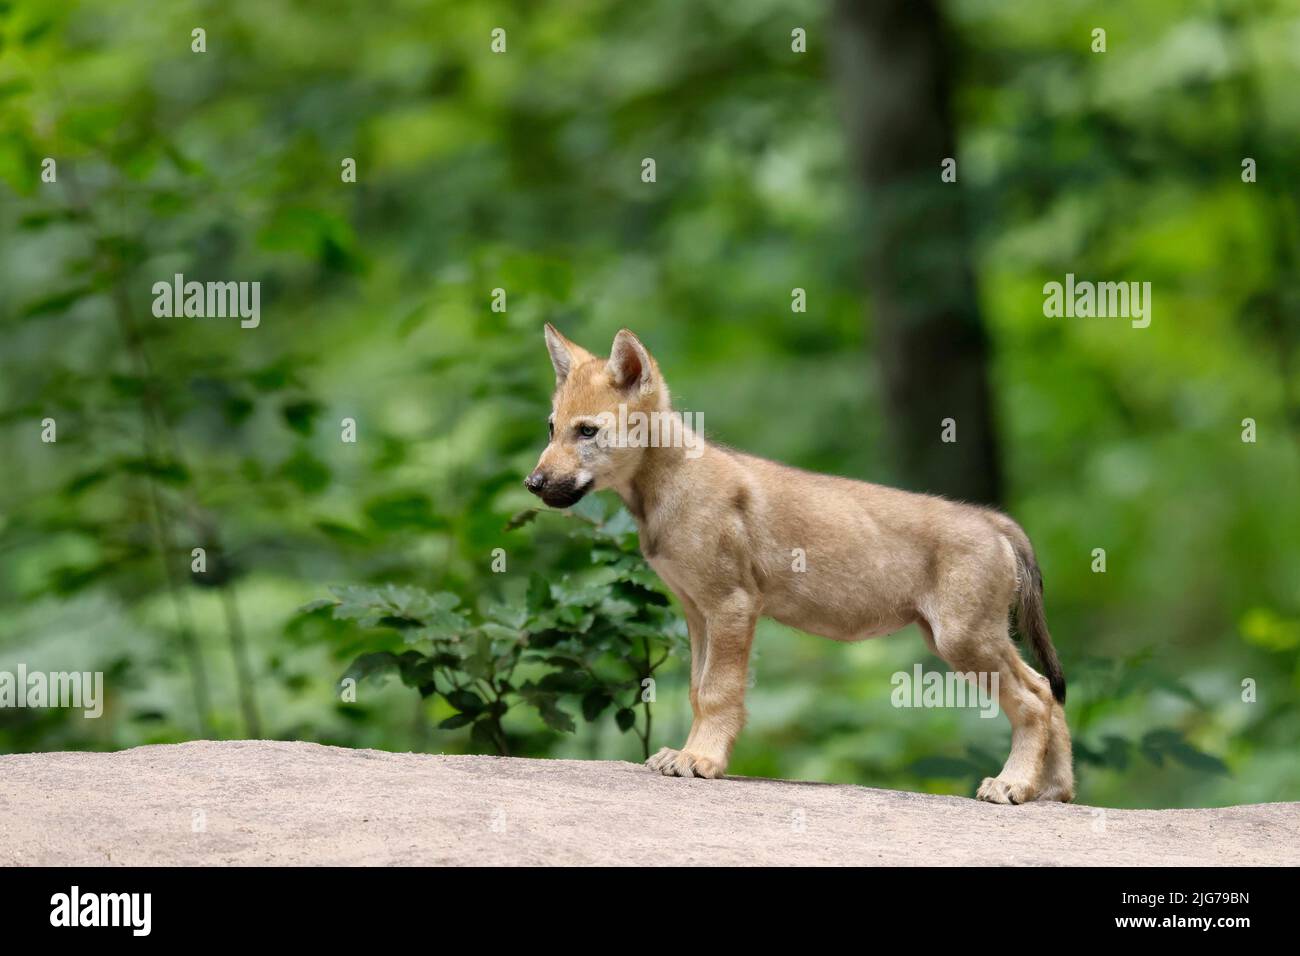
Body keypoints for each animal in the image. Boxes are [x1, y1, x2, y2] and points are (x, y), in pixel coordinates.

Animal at [526, 325, 1073, 803]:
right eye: (551, 428)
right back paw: (1051, 792)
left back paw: (1012, 785)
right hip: (963, 639)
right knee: (1048, 692)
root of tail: (993, 520)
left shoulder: (732, 607)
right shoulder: (698, 613)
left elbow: (719, 693)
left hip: (962, 640)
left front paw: (702, 760)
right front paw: (687, 754)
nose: (533, 483)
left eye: (588, 431)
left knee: (1034, 701)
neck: (663, 490)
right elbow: (699, 691)